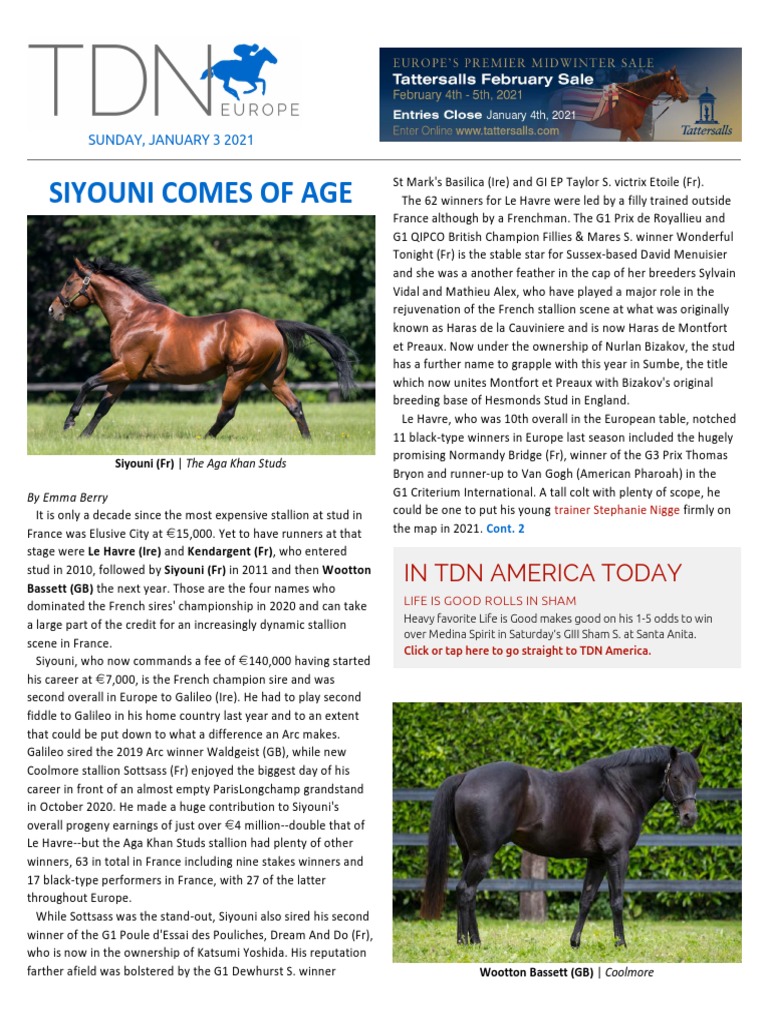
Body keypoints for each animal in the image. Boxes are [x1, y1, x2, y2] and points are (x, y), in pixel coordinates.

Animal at [48, 257, 355, 439]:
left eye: (69, 281)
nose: (53, 310)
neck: (132, 317)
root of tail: (272, 323)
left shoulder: (127, 368)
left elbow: (88, 383)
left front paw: (69, 422)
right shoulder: (124, 374)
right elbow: (103, 407)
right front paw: (83, 436)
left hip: (240, 374)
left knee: (227, 412)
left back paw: (206, 439)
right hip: (272, 378)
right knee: (295, 406)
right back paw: (308, 440)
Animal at [420, 743, 703, 948]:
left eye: (697, 778)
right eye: (675, 776)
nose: (690, 817)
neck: (618, 789)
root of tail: (466, 776)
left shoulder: (597, 859)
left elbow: (586, 899)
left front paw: (575, 942)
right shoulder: (617, 856)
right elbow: (617, 900)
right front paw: (620, 944)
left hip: (470, 854)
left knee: (467, 892)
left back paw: (473, 941)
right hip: (483, 855)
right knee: (466, 891)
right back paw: (467, 943)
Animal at [551, 68, 689, 141]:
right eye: (677, 81)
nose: (686, 97)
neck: (633, 98)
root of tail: (558, 92)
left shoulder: (625, 130)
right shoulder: (629, 129)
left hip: (569, 124)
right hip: (561, 124)